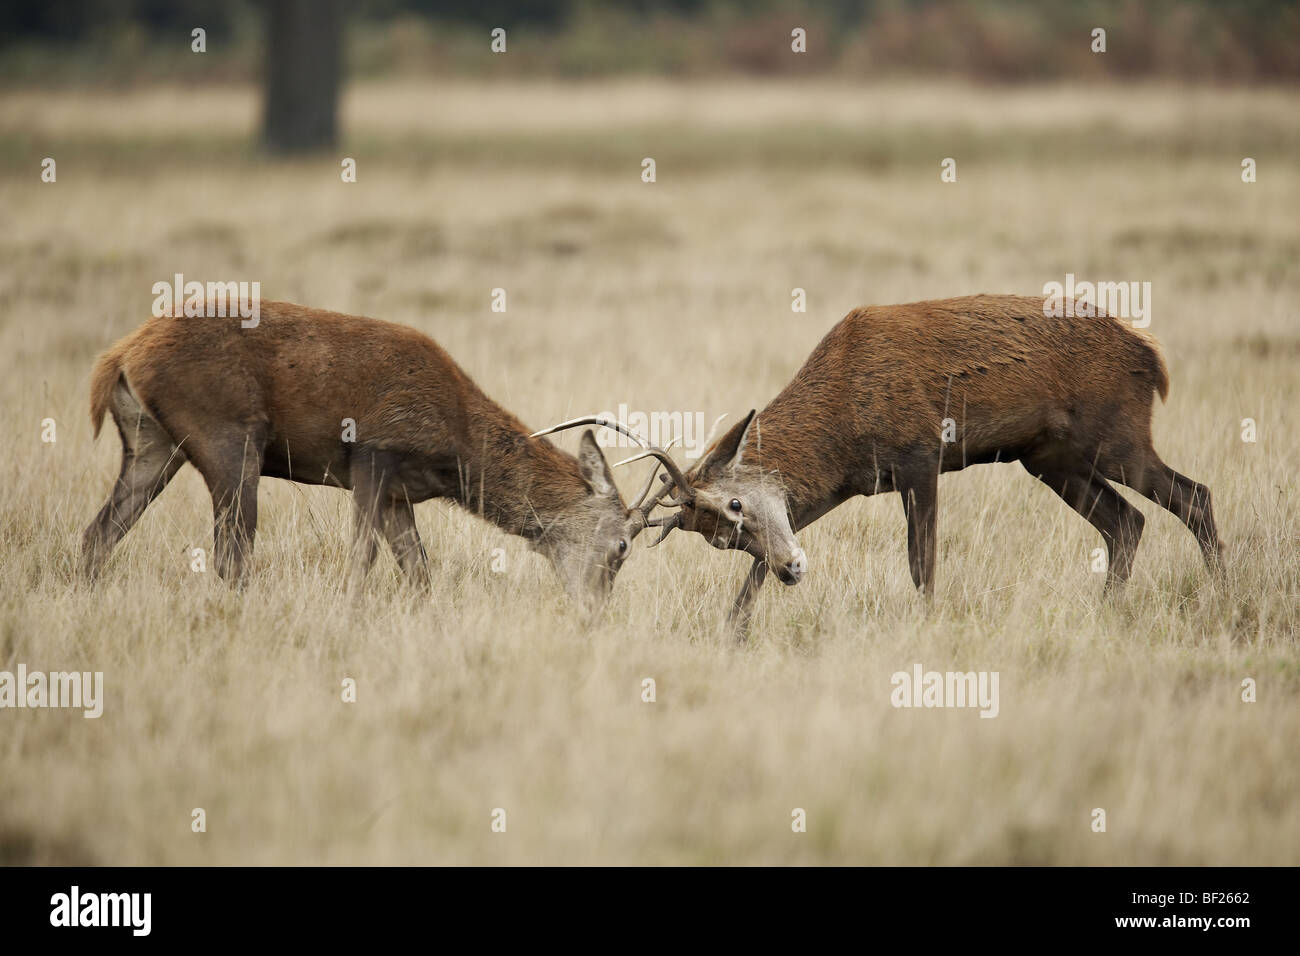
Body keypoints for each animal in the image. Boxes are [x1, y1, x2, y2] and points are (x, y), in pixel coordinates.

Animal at [80, 300, 686, 611]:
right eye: (622, 546)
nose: (595, 612)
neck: (456, 448)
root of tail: (120, 357)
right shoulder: (374, 453)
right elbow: (362, 557)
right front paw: (348, 614)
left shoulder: (400, 492)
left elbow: (419, 572)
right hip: (228, 437)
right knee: (232, 551)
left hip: (153, 443)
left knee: (98, 532)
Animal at [630, 294, 1224, 636]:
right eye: (718, 539)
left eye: (735, 503)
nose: (793, 572)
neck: (844, 420)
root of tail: (1152, 356)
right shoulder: (844, 487)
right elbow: (759, 569)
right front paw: (733, 631)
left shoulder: (920, 457)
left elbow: (922, 563)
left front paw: (927, 625)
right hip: (1052, 460)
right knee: (1126, 521)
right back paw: (1108, 612)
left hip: (1117, 436)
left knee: (1193, 496)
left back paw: (1220, 592)